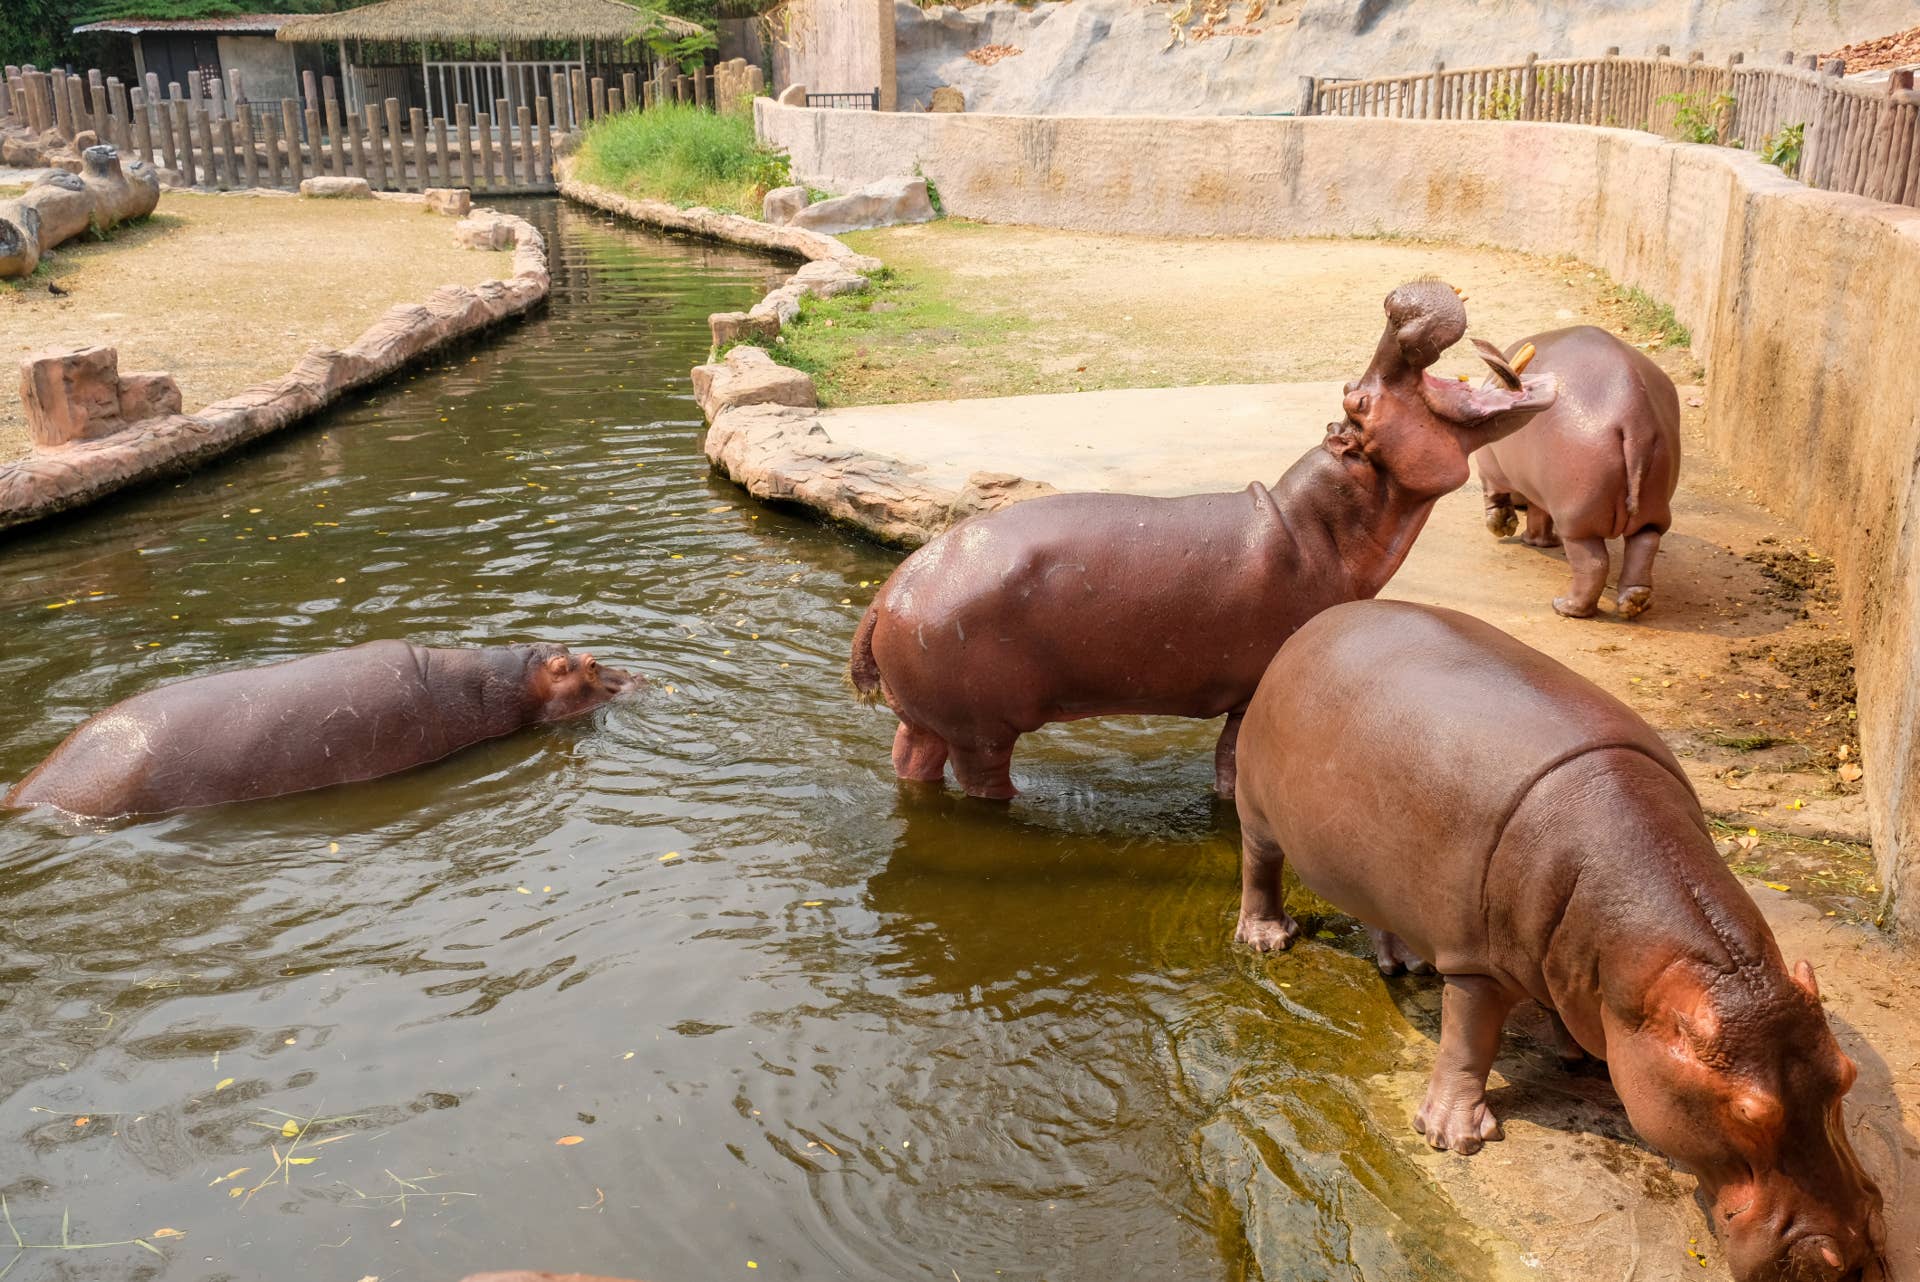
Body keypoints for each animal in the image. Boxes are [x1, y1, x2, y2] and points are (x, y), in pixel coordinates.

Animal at [848, 281, 1557, 799]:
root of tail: (887, 593)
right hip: (984, 731)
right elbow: (1234, 764)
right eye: (1358, 400)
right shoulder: (1252, 692)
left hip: (928, 720)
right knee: (980, 778)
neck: (1320, 526)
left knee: (911, 757)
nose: (1397, 302)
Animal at [1233, 600, 1886, 1282]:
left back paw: (1405, 964)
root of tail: (1318, 621)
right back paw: (1267, 940)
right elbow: (1467, 1042)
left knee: (1380, 911)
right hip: (1257, 808)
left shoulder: (1568, 957)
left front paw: (1583, 1060)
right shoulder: (1477, 964)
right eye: (1746, 1112)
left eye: (1845, 1074)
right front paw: (1455, 1139)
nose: (1850, 1256)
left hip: (1379, 867)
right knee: (1259, 866)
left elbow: (1560, 1002)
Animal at [1473, 326, 1682, 618]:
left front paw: (1502, 528)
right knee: (1644, 545)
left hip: (1576, 520)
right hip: (1652, 508)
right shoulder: (1540, 490)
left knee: (1593, 564)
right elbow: (1539, 515)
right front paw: (1536, 541)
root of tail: (1636, 417)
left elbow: (1494, 495)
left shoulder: (1491, 464)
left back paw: (1565, 607)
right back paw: (1633, 603)